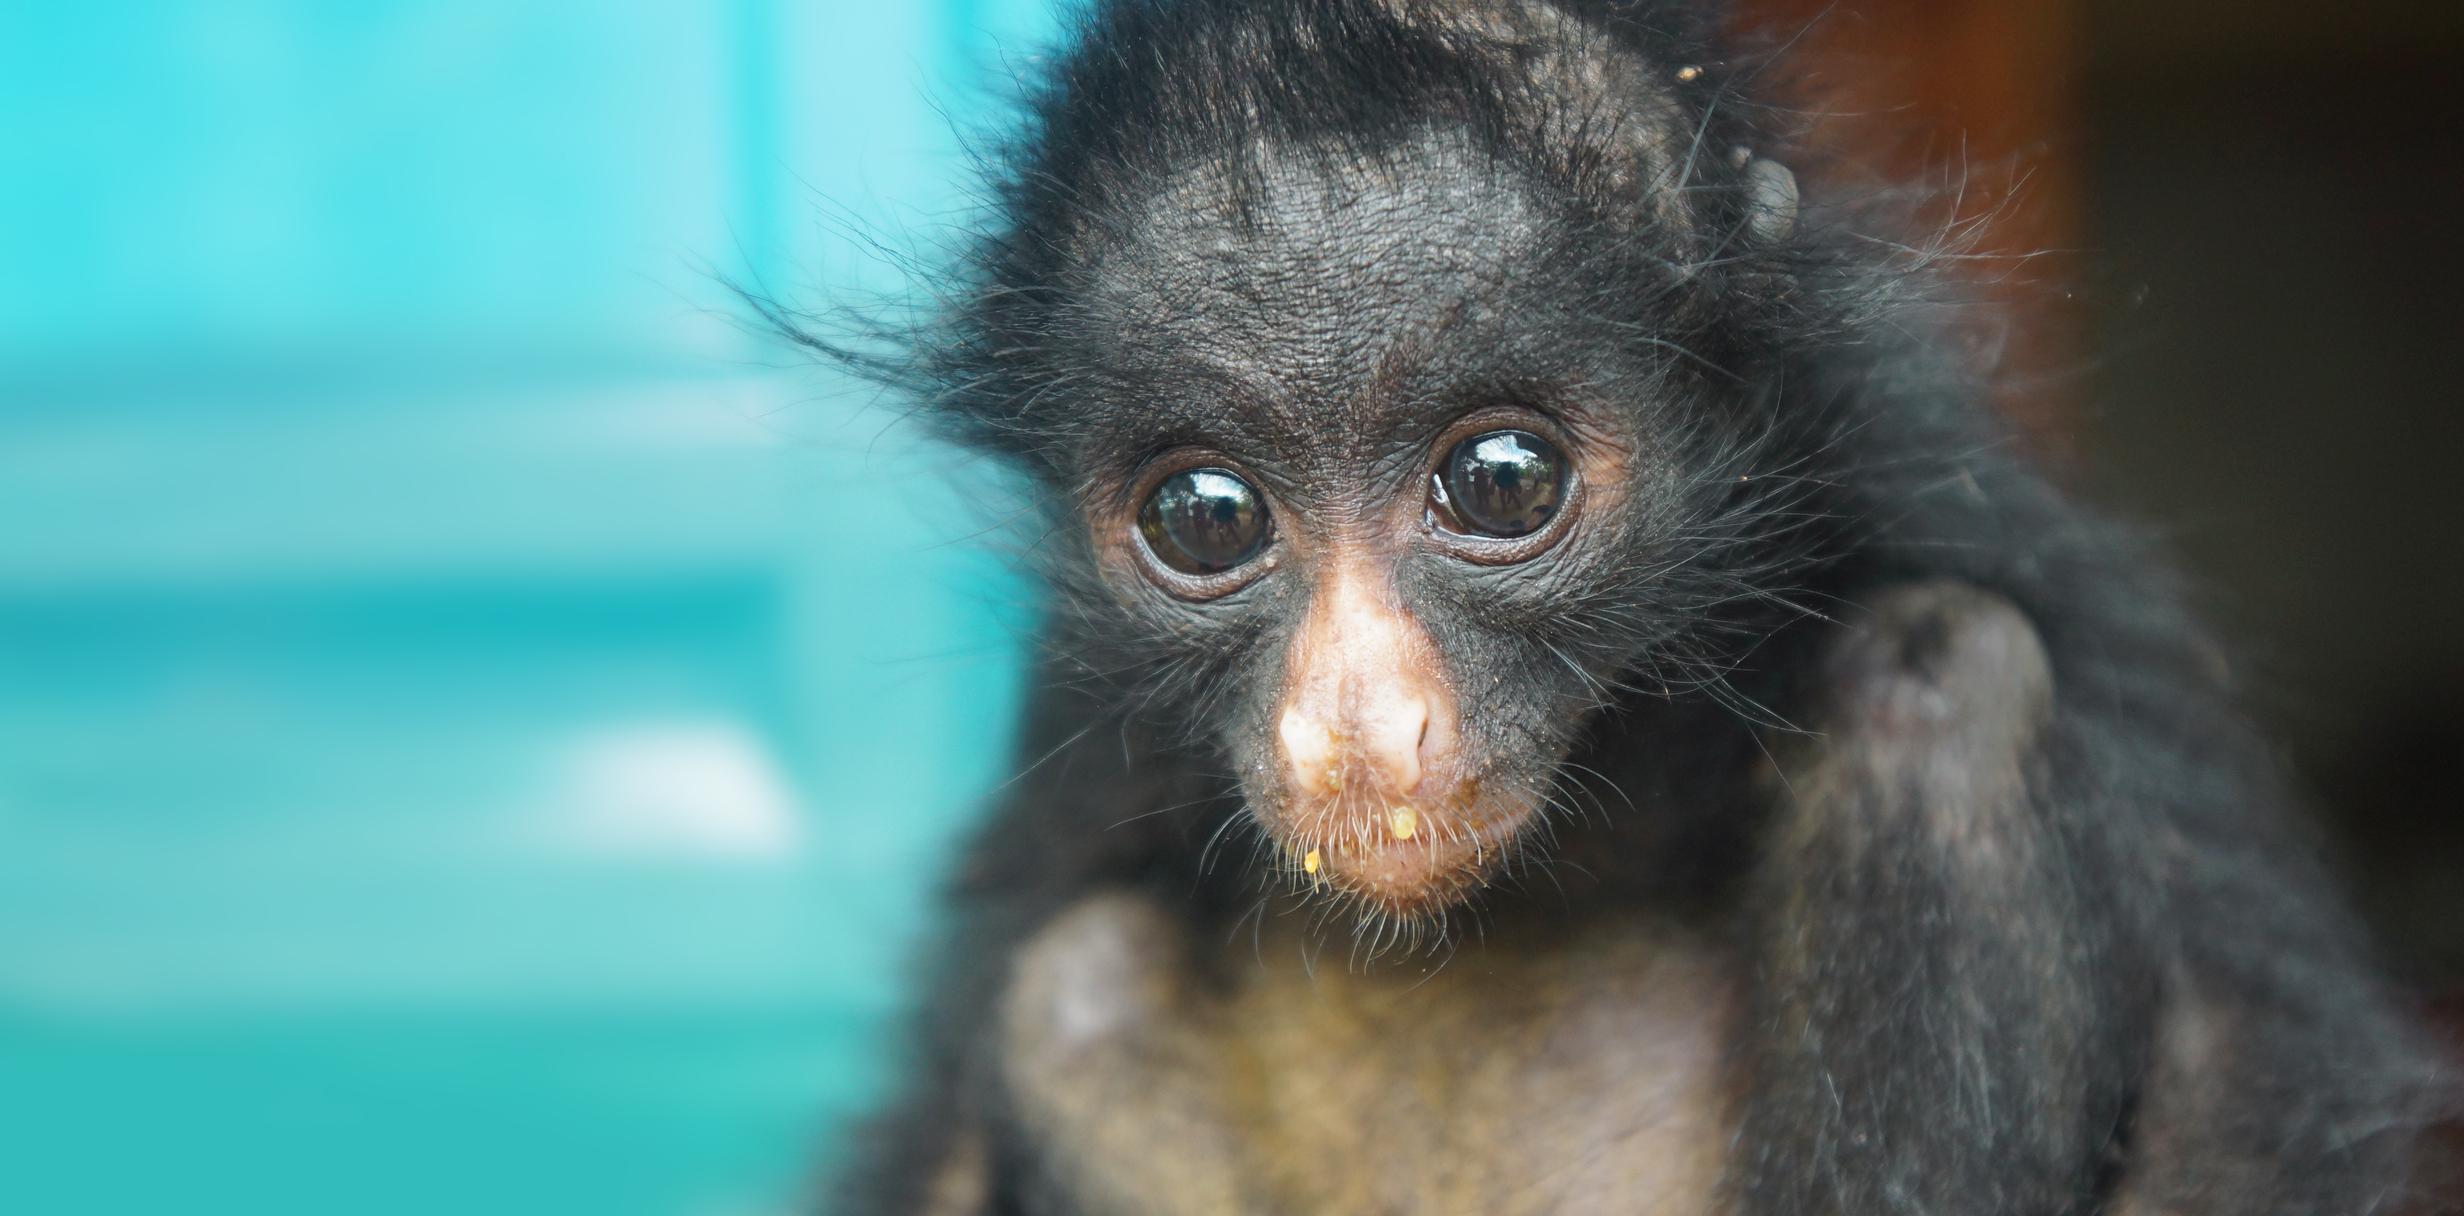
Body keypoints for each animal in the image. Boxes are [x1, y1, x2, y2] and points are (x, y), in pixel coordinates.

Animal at [765, 1, 2451, 1213]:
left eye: (1501, 481)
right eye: (1206, 517)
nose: (1355, 722)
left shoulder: (1925, 480)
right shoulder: (1088, 717)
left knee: (1946, 685)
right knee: (1076, 991)